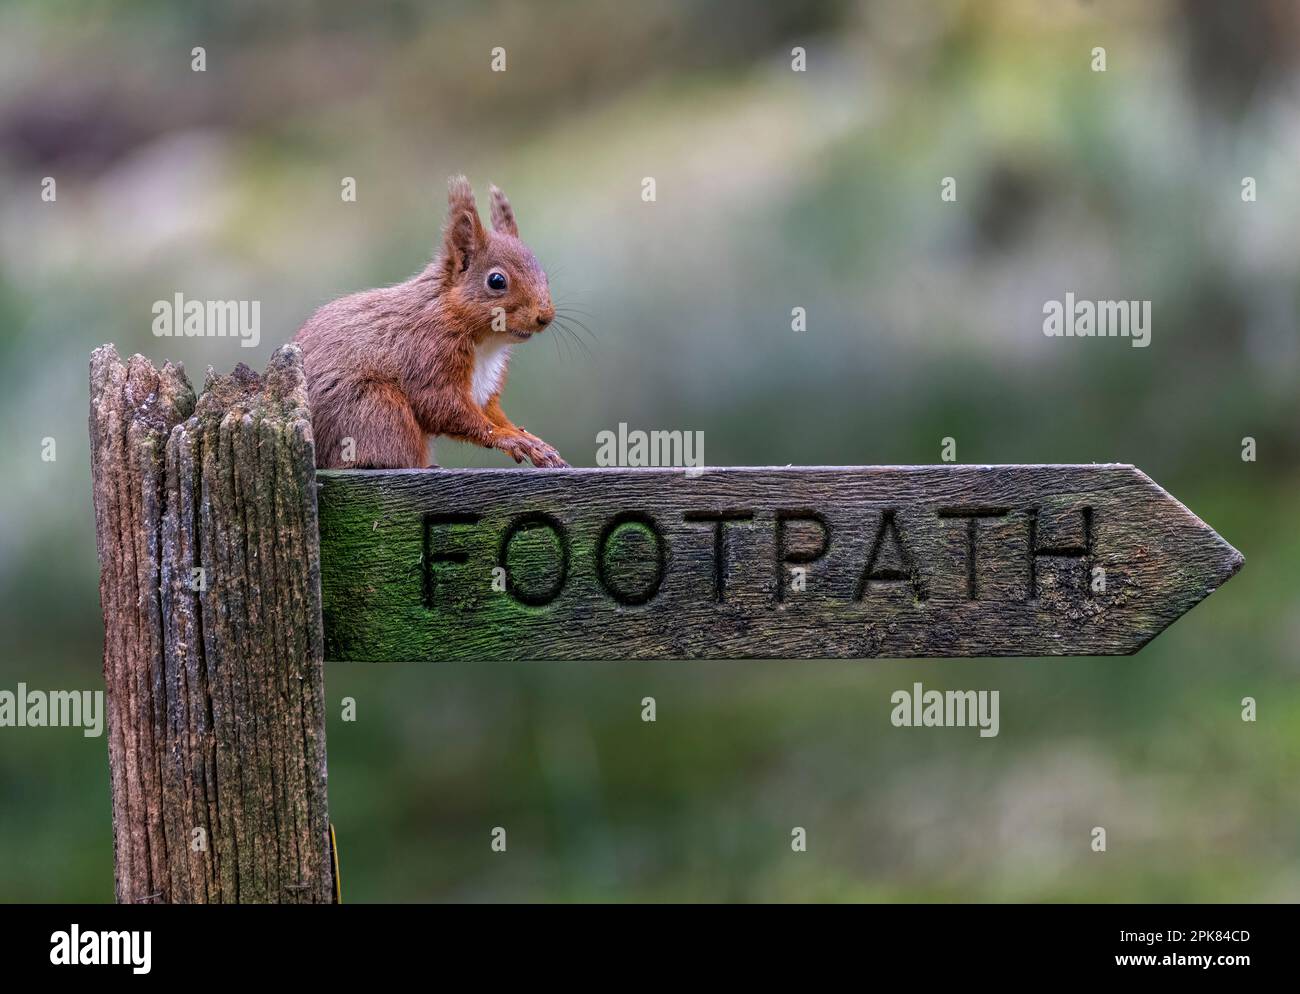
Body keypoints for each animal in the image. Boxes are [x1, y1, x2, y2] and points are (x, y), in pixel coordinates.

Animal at [294, 176, 568, 470]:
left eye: (544, 276)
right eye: (497, 281)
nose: (545, 317)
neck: (485, 343)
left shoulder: (484, 385)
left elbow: (490, 412)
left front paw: (528, 439)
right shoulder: (428, 351)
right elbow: (441, 405)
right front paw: (509, 439)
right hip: (373, 408)